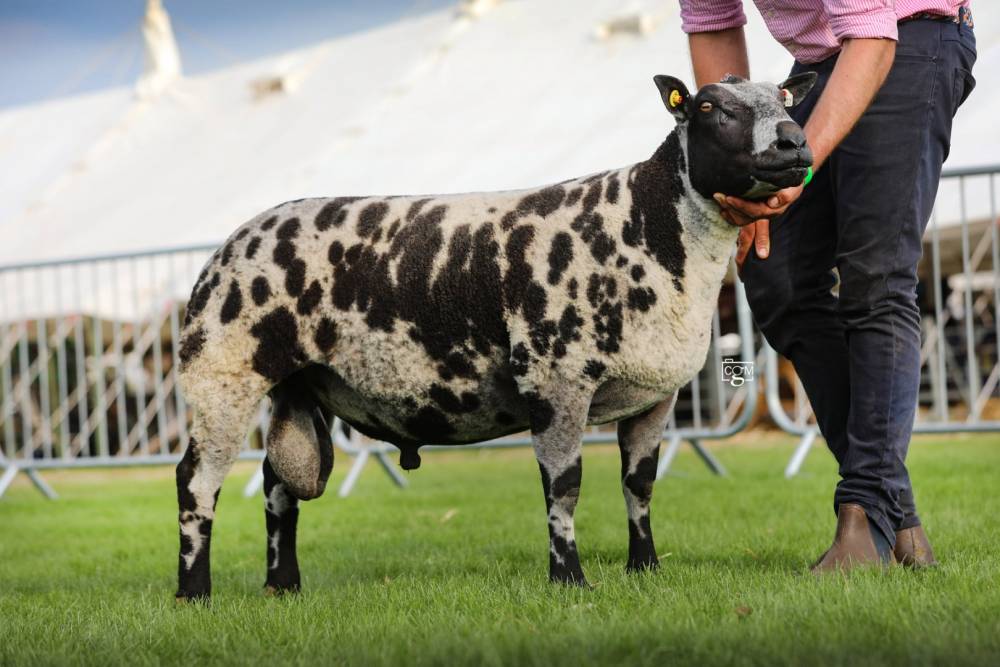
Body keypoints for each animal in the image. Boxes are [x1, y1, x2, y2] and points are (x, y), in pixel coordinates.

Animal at [174, 72, 817, 600]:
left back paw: (283, 585)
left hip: (299, 386)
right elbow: (564, 485)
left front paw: (645, 569)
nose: (794, 144)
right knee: (197, 483)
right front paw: (569, 579)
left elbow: (639, 485)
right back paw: (194, 593)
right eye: (709, 107)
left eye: (786, 99)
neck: (645, 226)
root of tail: (230, 245)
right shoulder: (557, 379)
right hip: (222, 374)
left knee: (278, 485)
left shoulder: (657, 394)